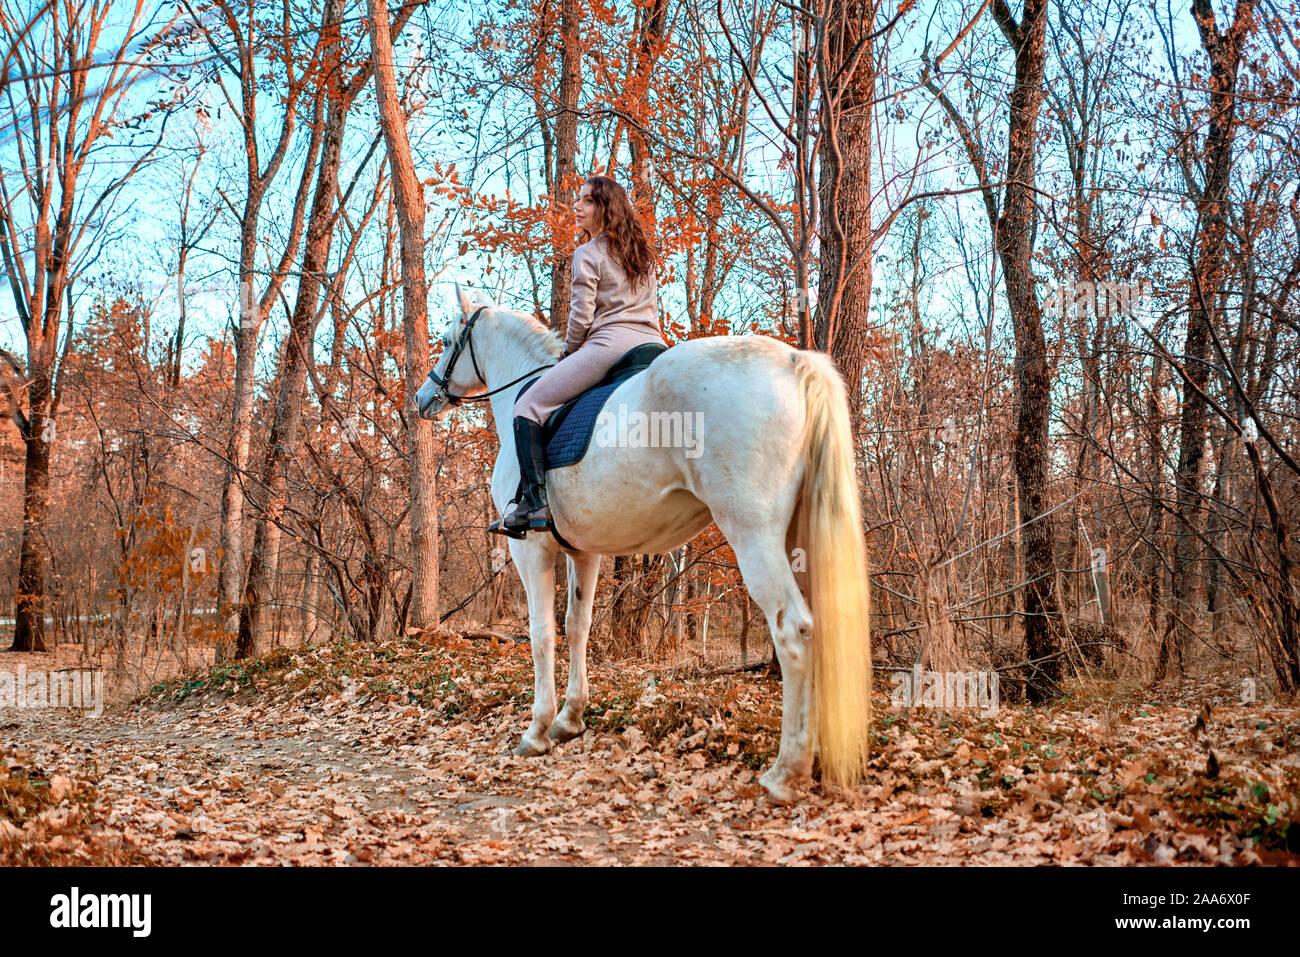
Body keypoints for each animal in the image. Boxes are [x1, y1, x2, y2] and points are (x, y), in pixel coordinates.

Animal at [416, 284, 872, 802]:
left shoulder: (530, 549)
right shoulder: (584, 552)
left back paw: (784, 772)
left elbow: (541, 634)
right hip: (799, 541)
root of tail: (794, 360)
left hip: (753, 534)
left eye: (447, 340)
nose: (423, 398)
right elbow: (577, 626)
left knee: (793, 630)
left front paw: (537, 730)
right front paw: (569, 720)